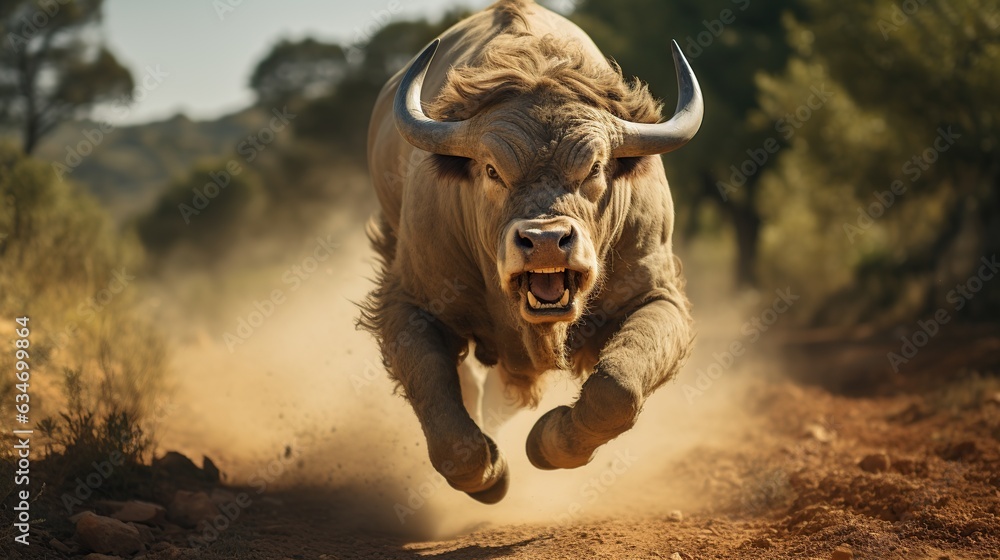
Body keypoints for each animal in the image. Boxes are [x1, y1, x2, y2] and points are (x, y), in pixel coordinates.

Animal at [361, 0, 702, 504]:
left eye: (594, 168)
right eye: (491, 170)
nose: (544, 240)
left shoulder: (656, 295)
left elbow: (617, 387)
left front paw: (547, 443)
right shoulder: (409, 304)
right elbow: (443, 414)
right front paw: (491, 476)